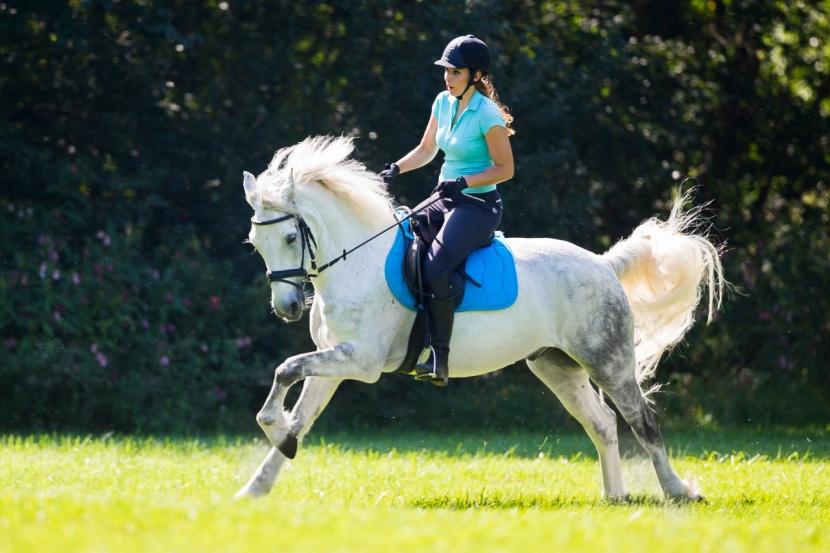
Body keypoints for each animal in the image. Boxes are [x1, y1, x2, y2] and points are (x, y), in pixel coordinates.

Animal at [235, 135, 725, 501]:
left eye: (290, 236)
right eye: (255, 244)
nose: (287, 308)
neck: (357, 260)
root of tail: (604, 264)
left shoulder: (360, 360)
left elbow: (285, 369)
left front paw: (276, 437)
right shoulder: (334, 360)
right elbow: (299, 413)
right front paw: (262, 477)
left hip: (608, 360)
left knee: (643, 420)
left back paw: (678, 492)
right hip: (556, 366)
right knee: (602, 423)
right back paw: (615, 495)